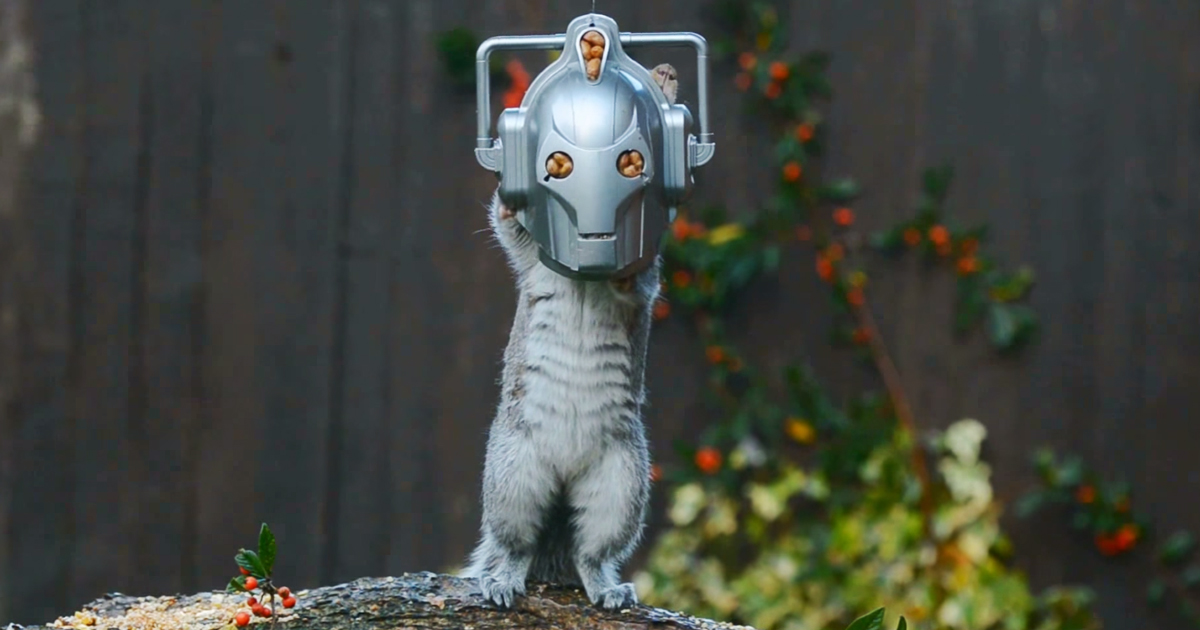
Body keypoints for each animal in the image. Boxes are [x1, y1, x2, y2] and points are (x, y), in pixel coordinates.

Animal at [460, 63, 681, 611]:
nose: (667, 71)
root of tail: (565, 474)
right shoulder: (529, 255)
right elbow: (509, 227)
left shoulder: (649, 277)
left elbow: (640, 285)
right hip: (513, 474)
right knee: (516, 544)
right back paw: (504, 579)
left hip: (620, 483)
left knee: (592, 552)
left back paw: (607, 587)